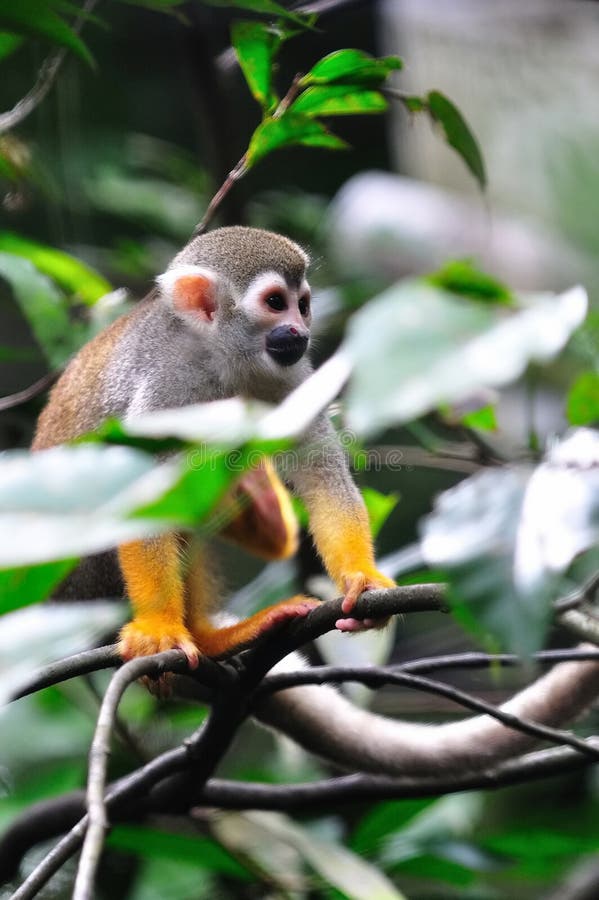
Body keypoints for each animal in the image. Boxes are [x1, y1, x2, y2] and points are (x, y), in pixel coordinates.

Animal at [32, 226, 395, 669]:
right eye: (276, 303)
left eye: (304, 306)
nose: (300, 330)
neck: (220, 360)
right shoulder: (168, 384)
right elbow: (147, 500)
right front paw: (159, 628)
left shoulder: (287, 378)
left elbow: (322, 477)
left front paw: (364, 579)